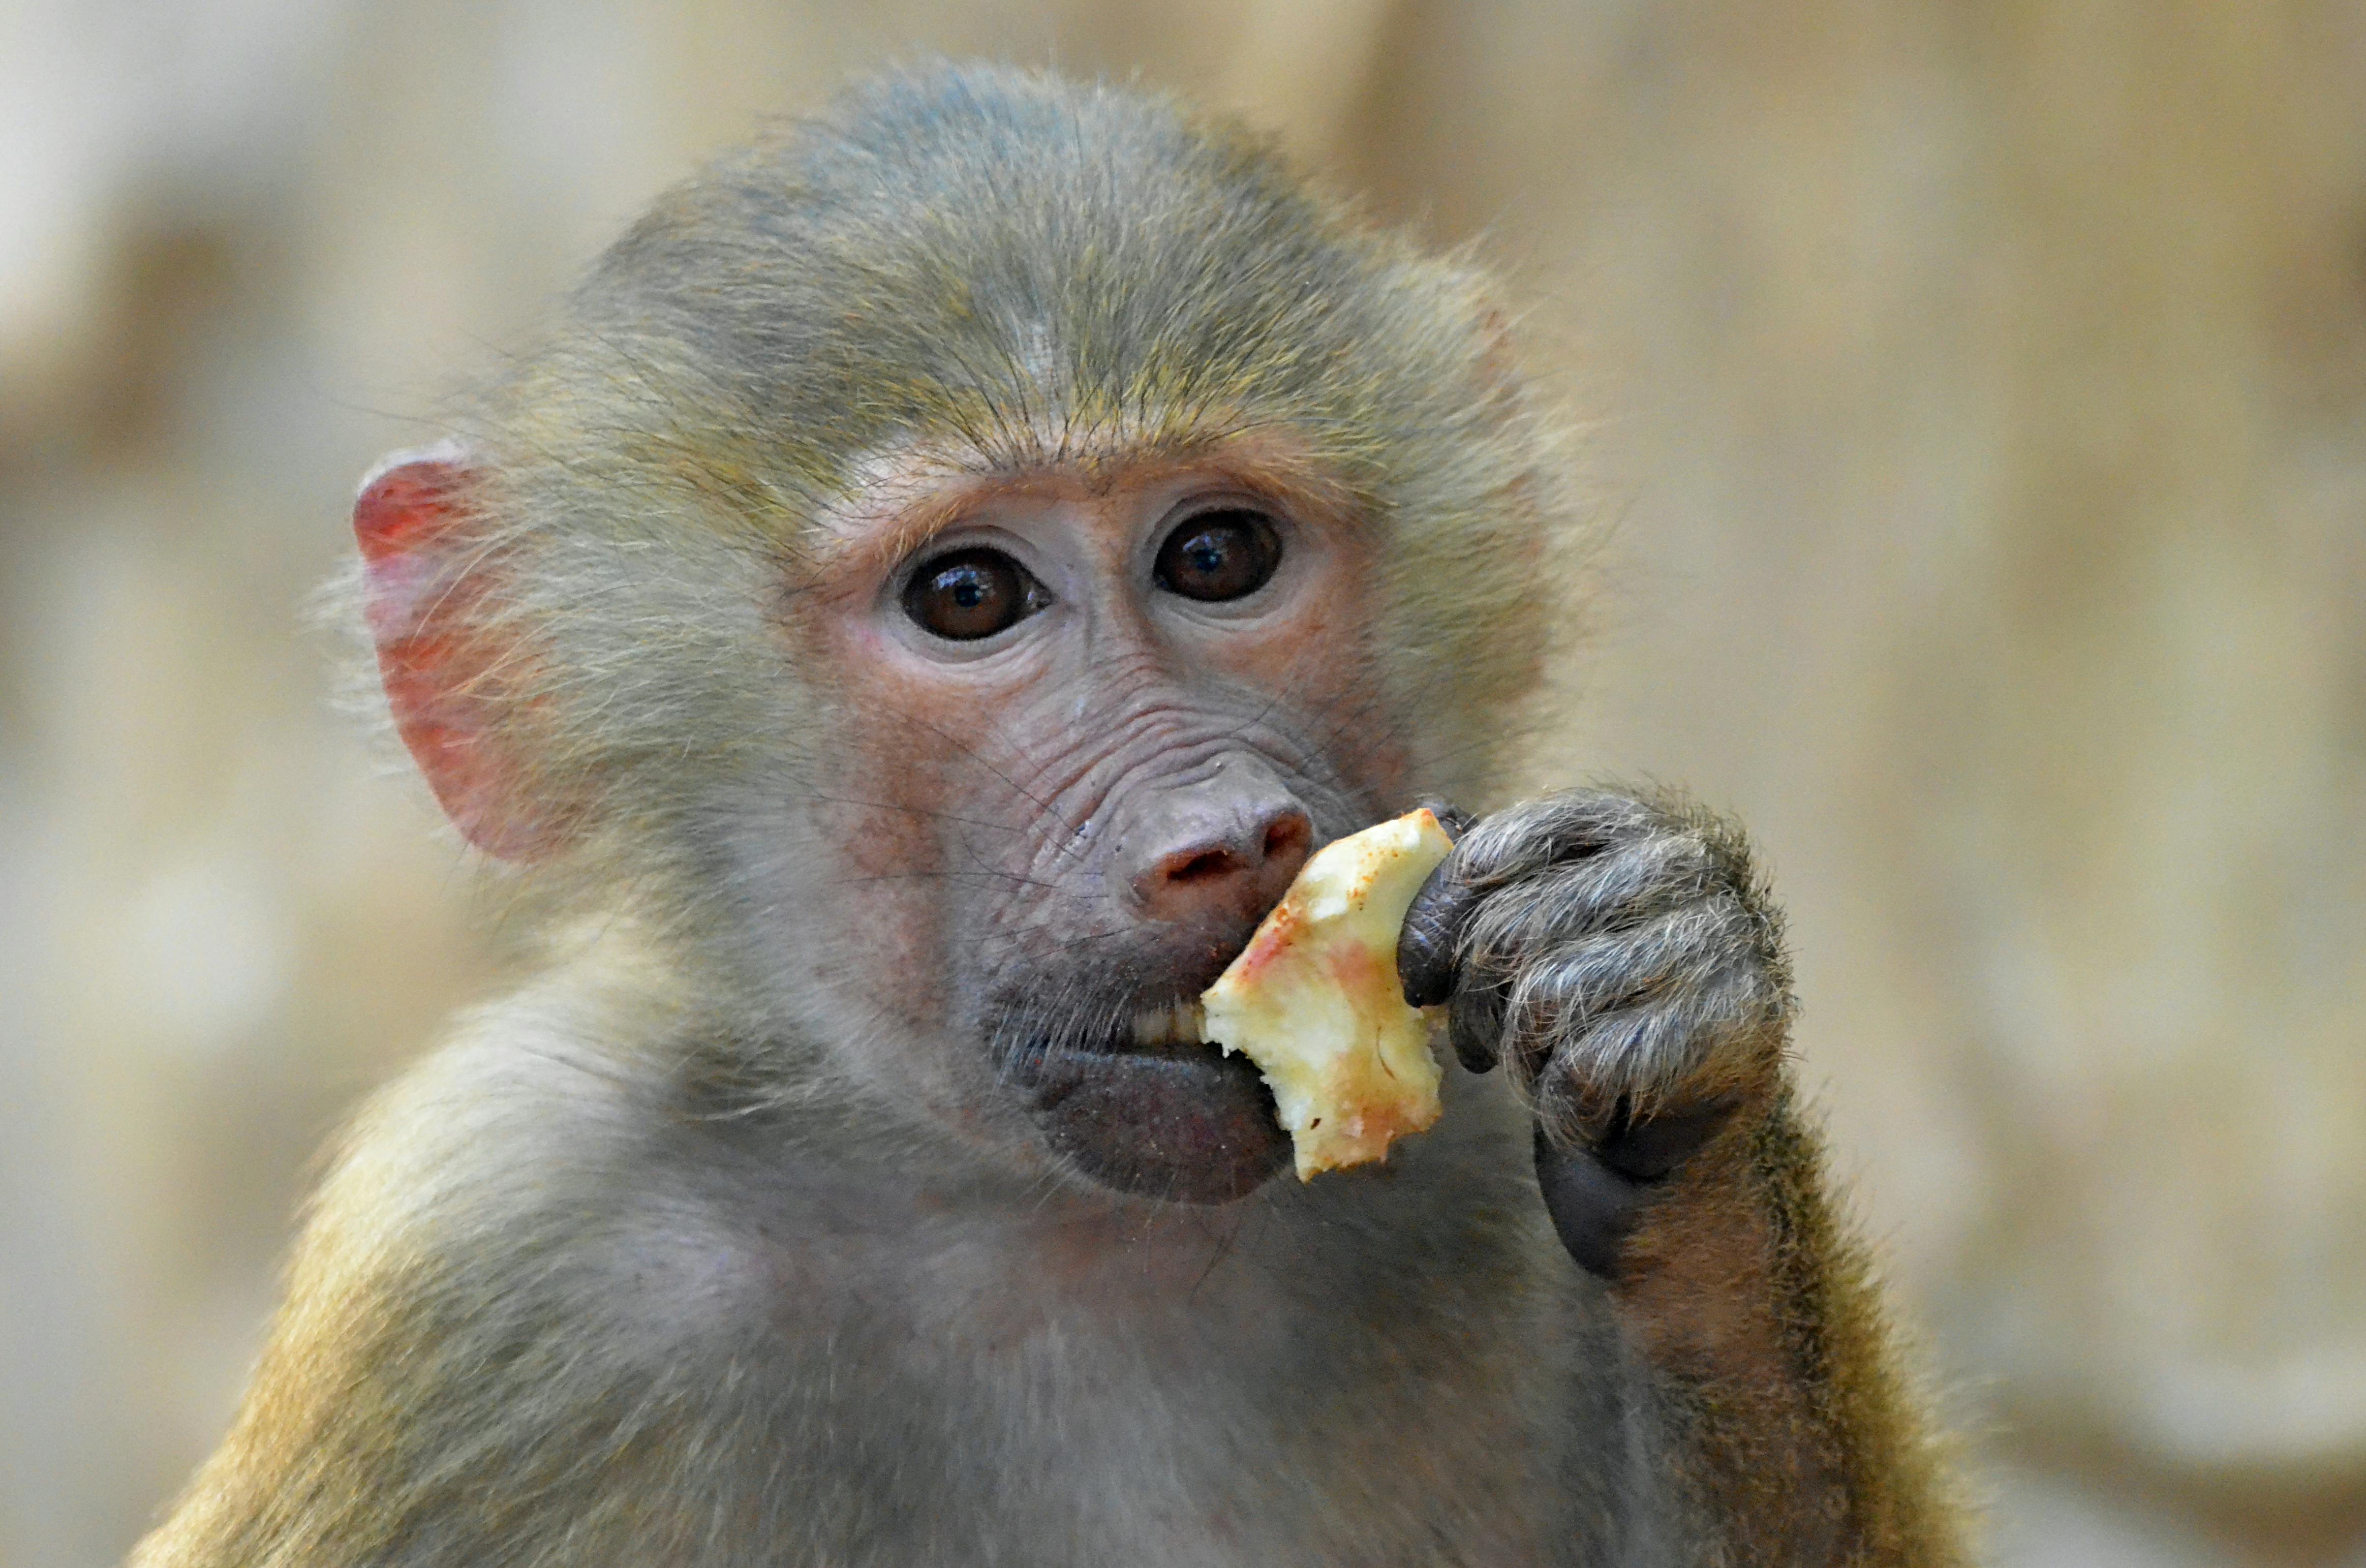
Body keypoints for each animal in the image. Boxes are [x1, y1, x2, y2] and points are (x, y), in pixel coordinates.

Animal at [132, 65, 1967, 1567]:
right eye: (966, 597)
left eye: (1215, 554)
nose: (1225, 834)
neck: (1063, 1232)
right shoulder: (495, 1247)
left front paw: (1673, 1052)